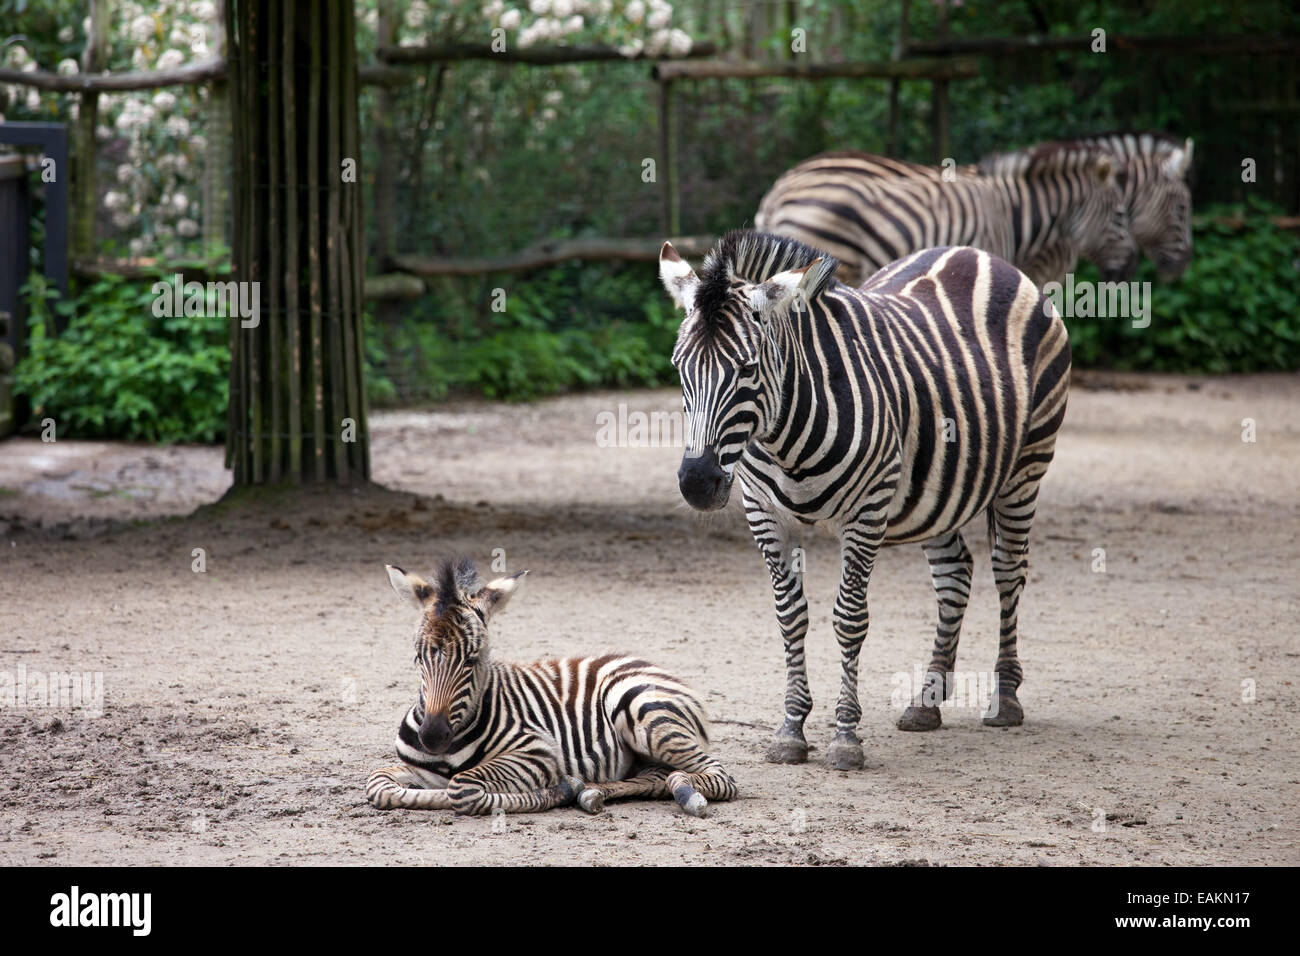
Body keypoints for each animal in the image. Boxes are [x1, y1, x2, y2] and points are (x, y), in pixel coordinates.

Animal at [366, 558, 738, 816]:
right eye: (418, 657)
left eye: (472, 659)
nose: (432, 737)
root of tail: (650, 664)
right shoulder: (417, 770)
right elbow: (378, 785)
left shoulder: (538, 753)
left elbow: (463, 789)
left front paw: (559, 790)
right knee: (657, 777)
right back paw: (594, 791)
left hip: (645, 715)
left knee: (720, 776)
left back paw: (684, 793)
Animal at [660, 230, 1070, 770]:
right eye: (678, 366)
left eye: (747, 368)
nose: (698, 482)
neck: (784, 436)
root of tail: (981, 255)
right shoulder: (763, 512)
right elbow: (790, 616)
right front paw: (791, 729)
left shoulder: (867, 510)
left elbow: (850, 619)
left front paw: (845, 737)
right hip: (937, 491)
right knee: (956, 573)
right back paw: (926, 703)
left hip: (1026, 467)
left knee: (1008, 570)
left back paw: (1004, 699)